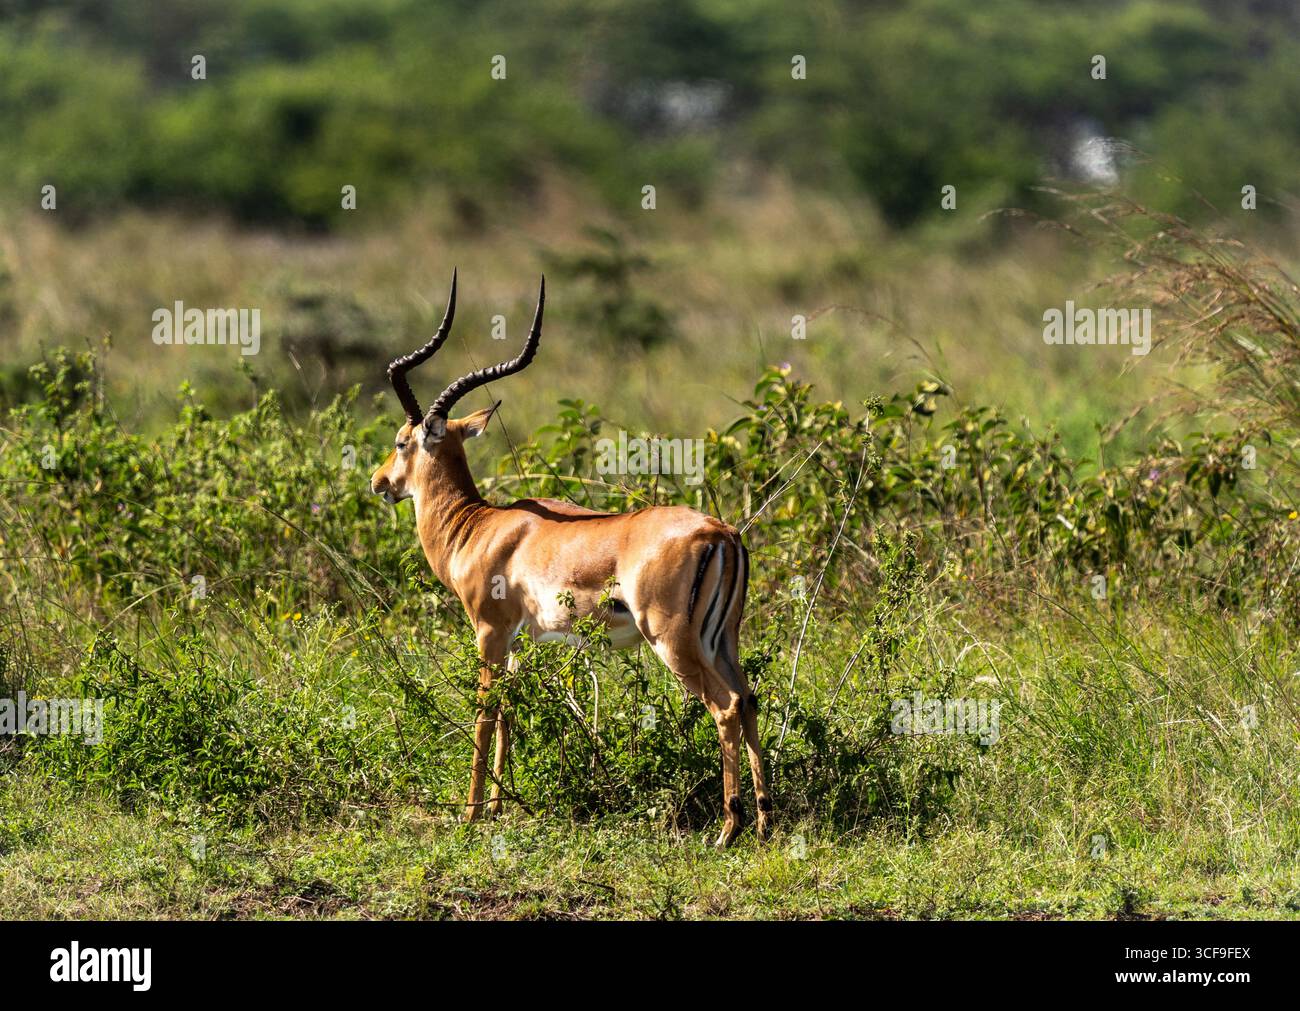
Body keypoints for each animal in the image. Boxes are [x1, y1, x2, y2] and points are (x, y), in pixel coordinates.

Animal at [370, 272, 771, 847]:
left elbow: (484, 714)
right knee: (751, 698)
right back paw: (763, 820)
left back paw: (727, 829)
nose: (379, 481)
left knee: (727, 707)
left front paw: (469, 813)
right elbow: (509, 715)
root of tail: (721, 533)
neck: (479, 527)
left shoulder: (488, 631)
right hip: (723, 640)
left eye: (402, 441)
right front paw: (498, 807)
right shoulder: (523, 641)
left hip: (672, 641)